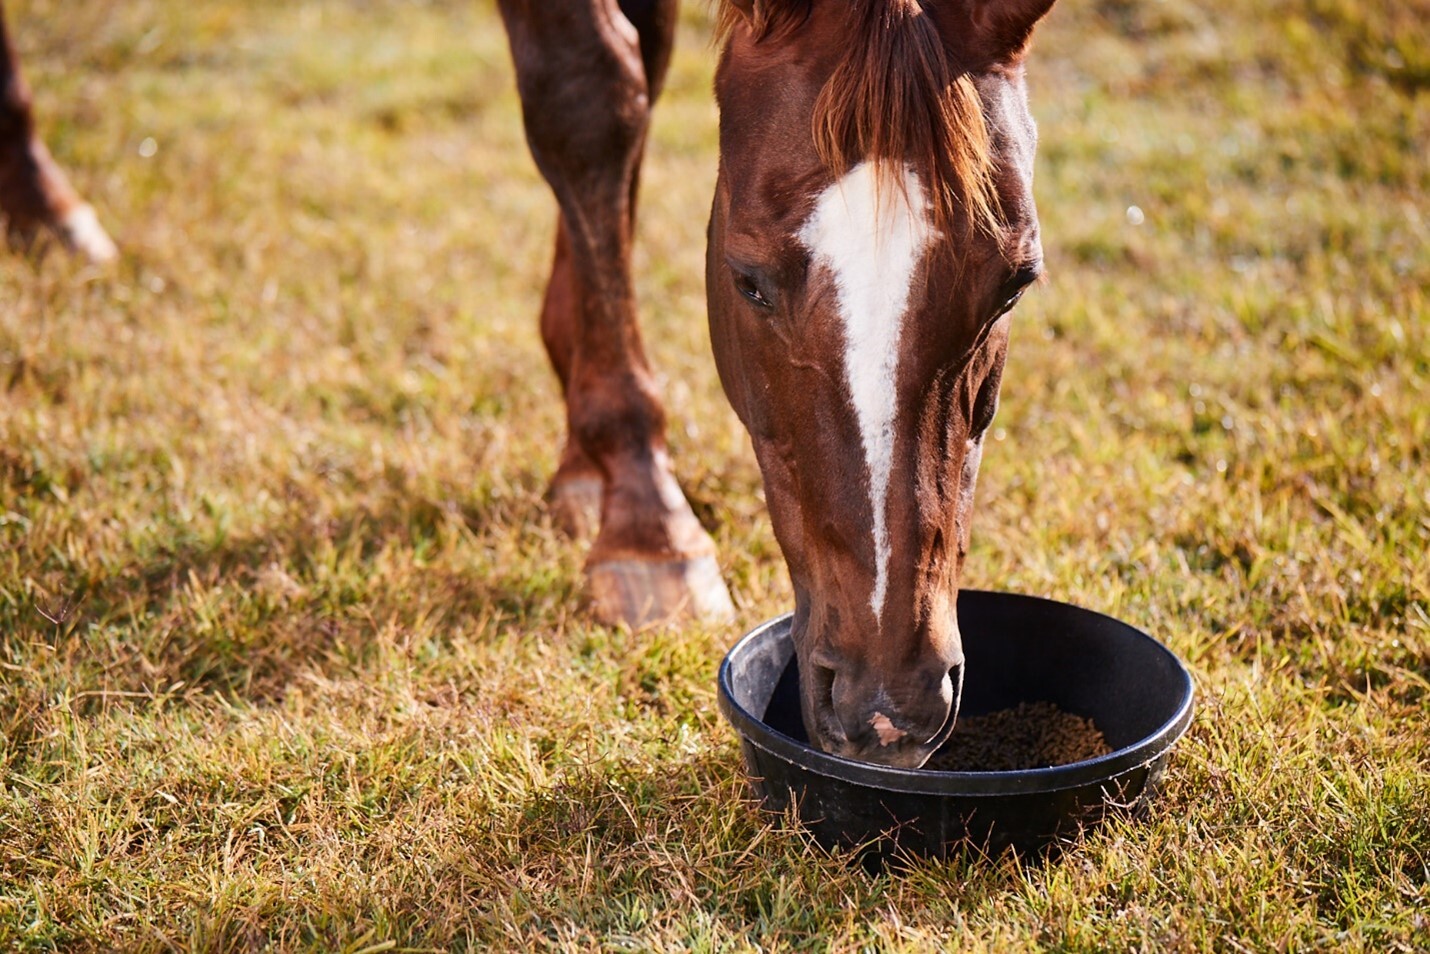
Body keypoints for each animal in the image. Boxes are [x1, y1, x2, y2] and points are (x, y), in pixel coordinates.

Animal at [5, 0, 1057, 769]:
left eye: (1013, 284)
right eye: (748, 279)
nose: (887, 703)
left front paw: (584, 446)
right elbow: (593, 96)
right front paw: (643, 513)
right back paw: (48, 209)